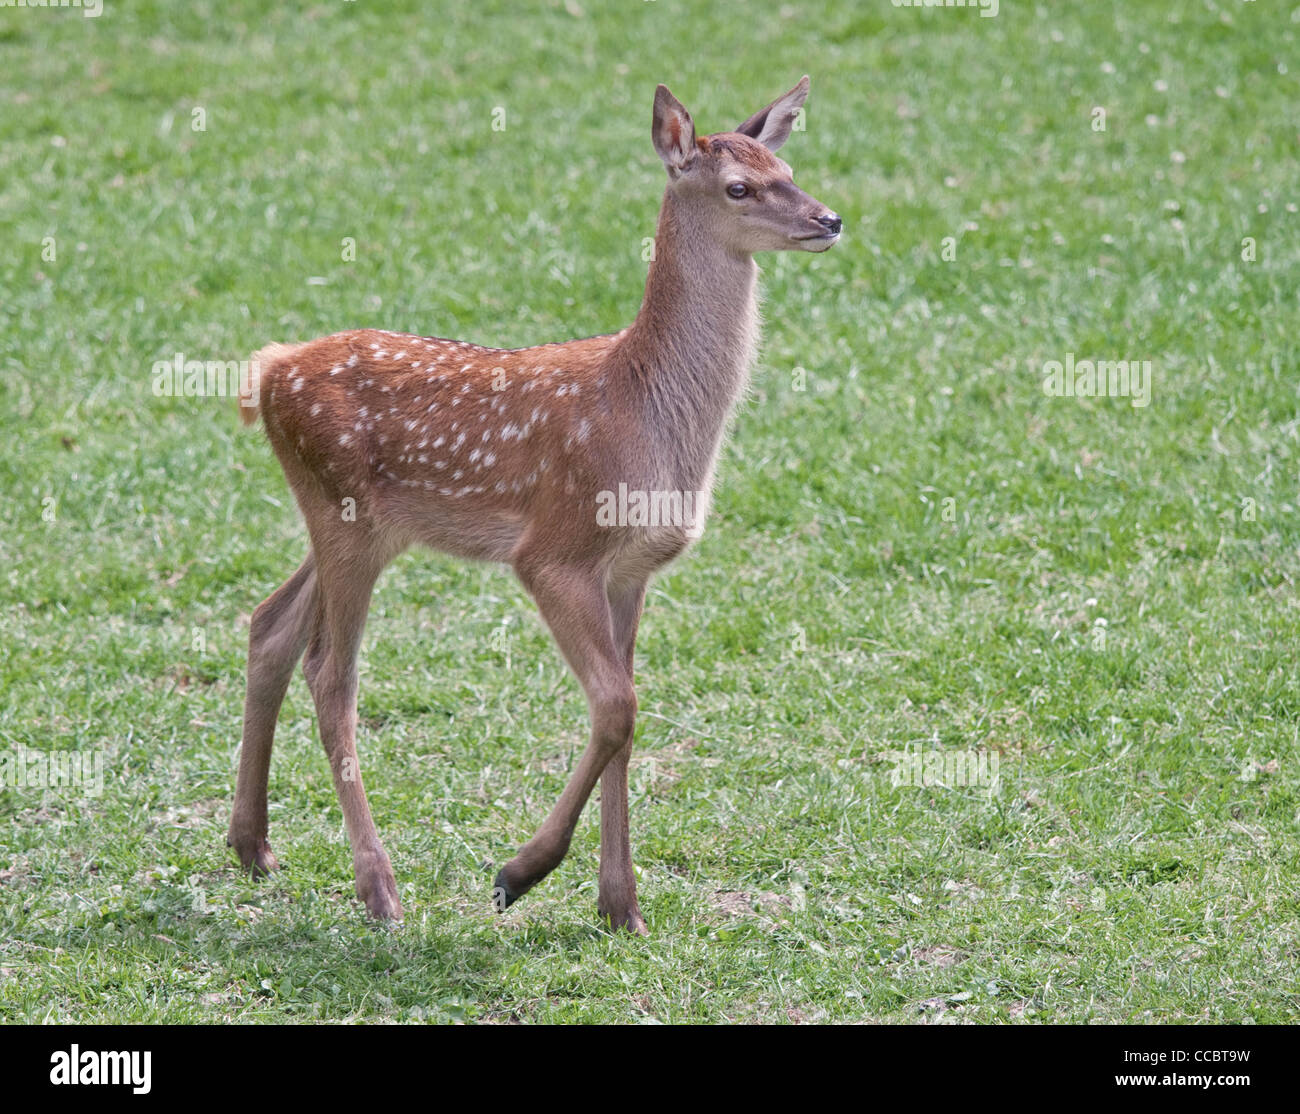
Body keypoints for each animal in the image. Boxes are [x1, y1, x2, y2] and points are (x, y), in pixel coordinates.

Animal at [227, 76, 841, 934]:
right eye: (739, 186)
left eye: (786, 165)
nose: (829, 219)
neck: (646, 412)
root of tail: (267, 371)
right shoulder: (553, 551)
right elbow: (616, 705)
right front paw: (520, 873)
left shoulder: (631, 569)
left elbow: (628, 716)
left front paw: (621, 905)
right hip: (345, 516)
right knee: (331, 675)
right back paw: (378, 889)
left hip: (357, 522)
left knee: (270, 624)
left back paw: (253, 845)